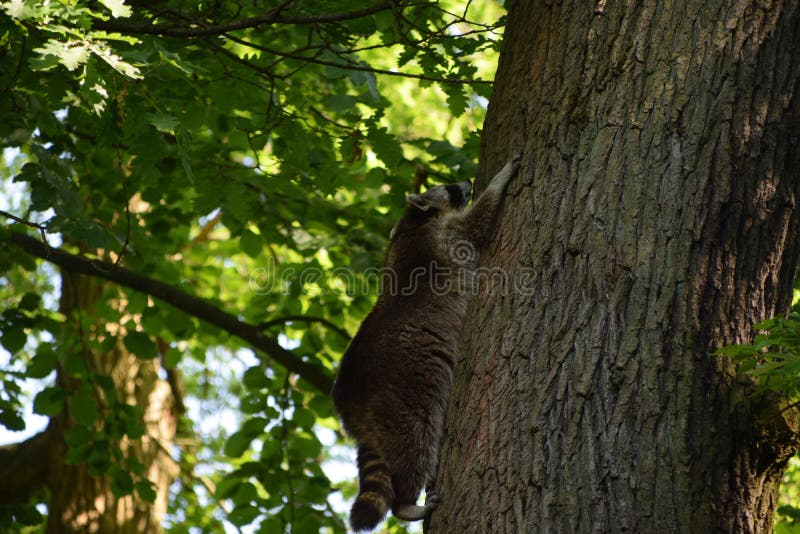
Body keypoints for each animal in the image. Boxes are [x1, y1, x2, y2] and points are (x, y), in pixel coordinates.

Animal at [332, 154, 522, 532]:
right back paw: (405, 504)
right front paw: (499, 179)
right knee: (416, 443)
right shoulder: (449, 236)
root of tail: (355, 406)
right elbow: (479, 219)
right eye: (448, 187)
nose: (467, 180)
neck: (414, 220)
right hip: (407, 395)